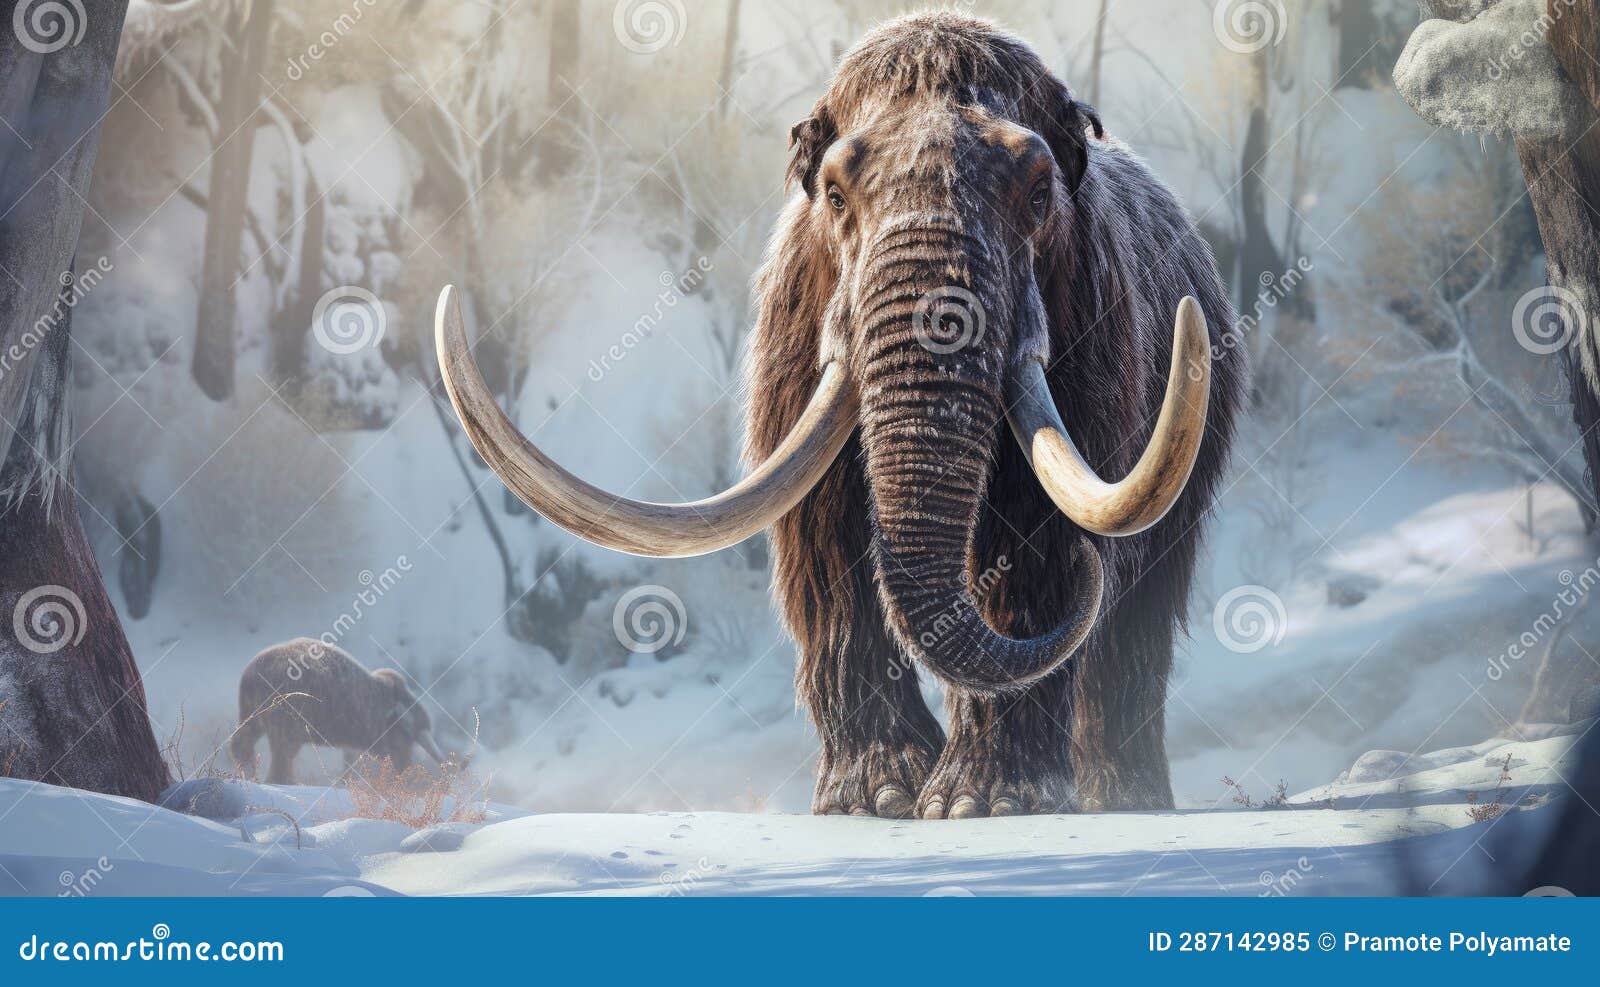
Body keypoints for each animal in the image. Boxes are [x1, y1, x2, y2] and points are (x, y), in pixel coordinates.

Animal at [231, 638, 445, 784]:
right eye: (407, 734)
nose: (406, 769)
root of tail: (251, 675)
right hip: (285, 714)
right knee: (282, 750)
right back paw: (281, 779)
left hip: (251, 711)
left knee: (244, 739)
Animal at [433, 12, 1245, 816]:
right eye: (834, 195)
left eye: (1039, 193)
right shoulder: (793, 349)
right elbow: (823, 537)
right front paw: (877, 798)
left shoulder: (1091, 350)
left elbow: (1034, 535)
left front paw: (982, 804)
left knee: (1139, 613)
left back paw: (1124, 799)